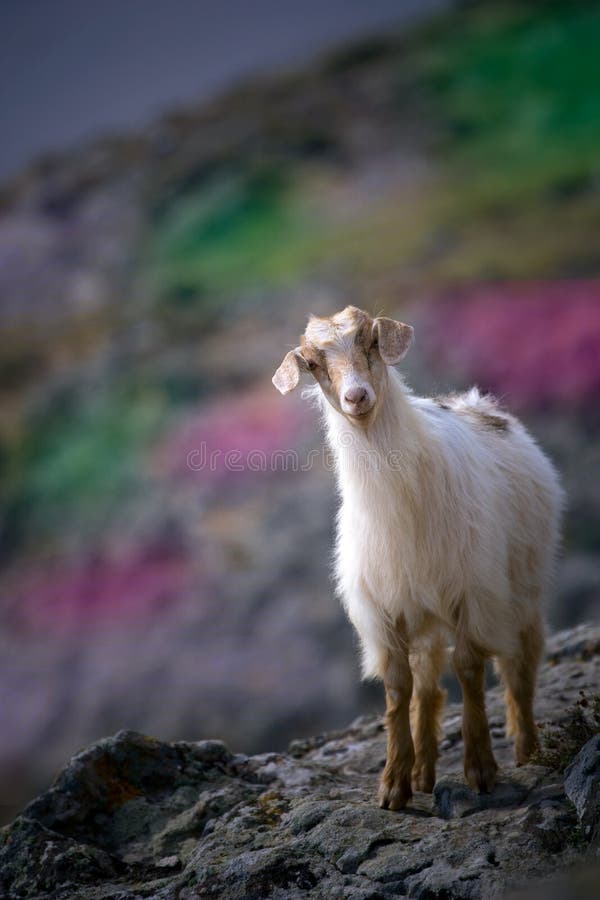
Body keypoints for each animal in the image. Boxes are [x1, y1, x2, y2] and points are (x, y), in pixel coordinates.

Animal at [273, 306, 563, 810]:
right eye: (312, 363)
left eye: (371, 341)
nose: (356, 397)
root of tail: (478, 402)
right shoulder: (383, 610)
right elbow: (398, 688)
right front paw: (393, 785)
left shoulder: (474, 593)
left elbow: (469, 669)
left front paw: (481, 769)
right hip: (423, 609)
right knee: (427, 686)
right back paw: (424, 773)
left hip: (523, 585)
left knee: (519, 665)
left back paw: (527, 749)